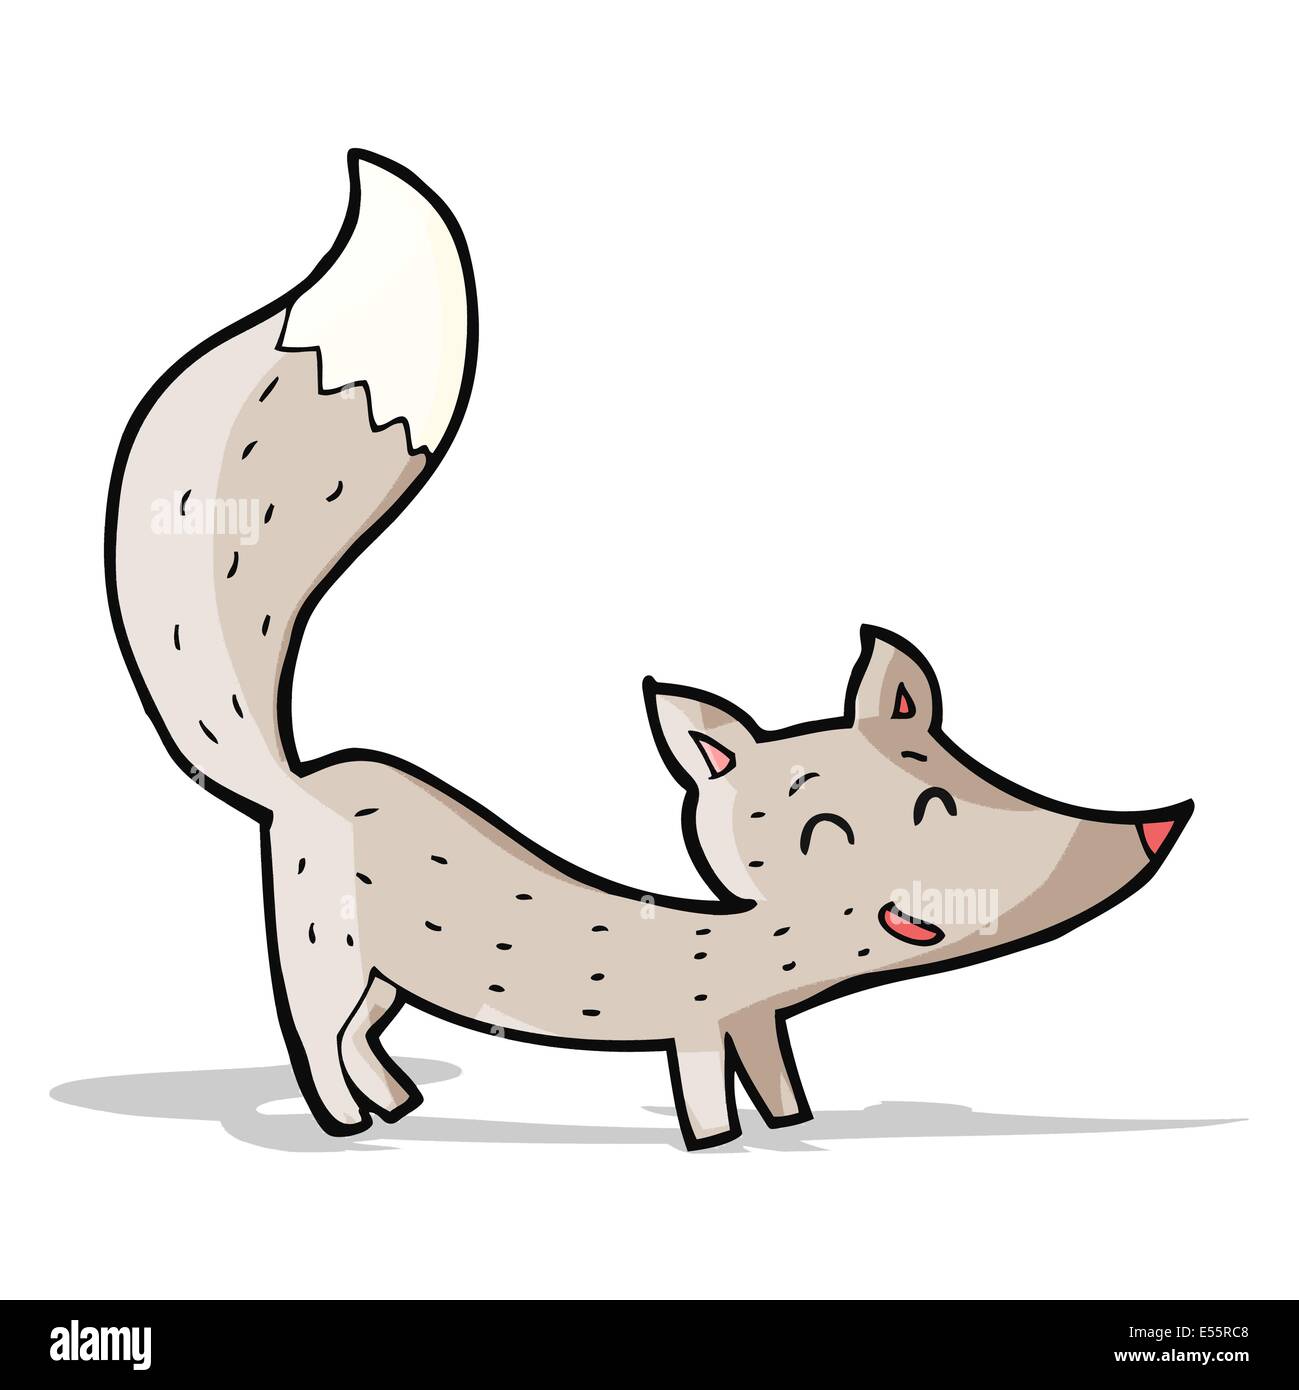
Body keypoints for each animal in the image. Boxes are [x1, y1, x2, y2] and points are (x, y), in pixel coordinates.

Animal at [106, 151, 1191, 1148]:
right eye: (850, 827)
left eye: (943, 788)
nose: (1157, 825)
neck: (753, 942)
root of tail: (300, 779)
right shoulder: (699, 1029)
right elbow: (707, 1087)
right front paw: (716, 1142)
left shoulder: (758, 1021)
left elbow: (775, 1071)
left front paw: (791, 1122)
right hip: (324, 945)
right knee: (318, 1033)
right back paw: (347, 1119)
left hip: (386, 971)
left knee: (363, 1031)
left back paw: (396, 1098)